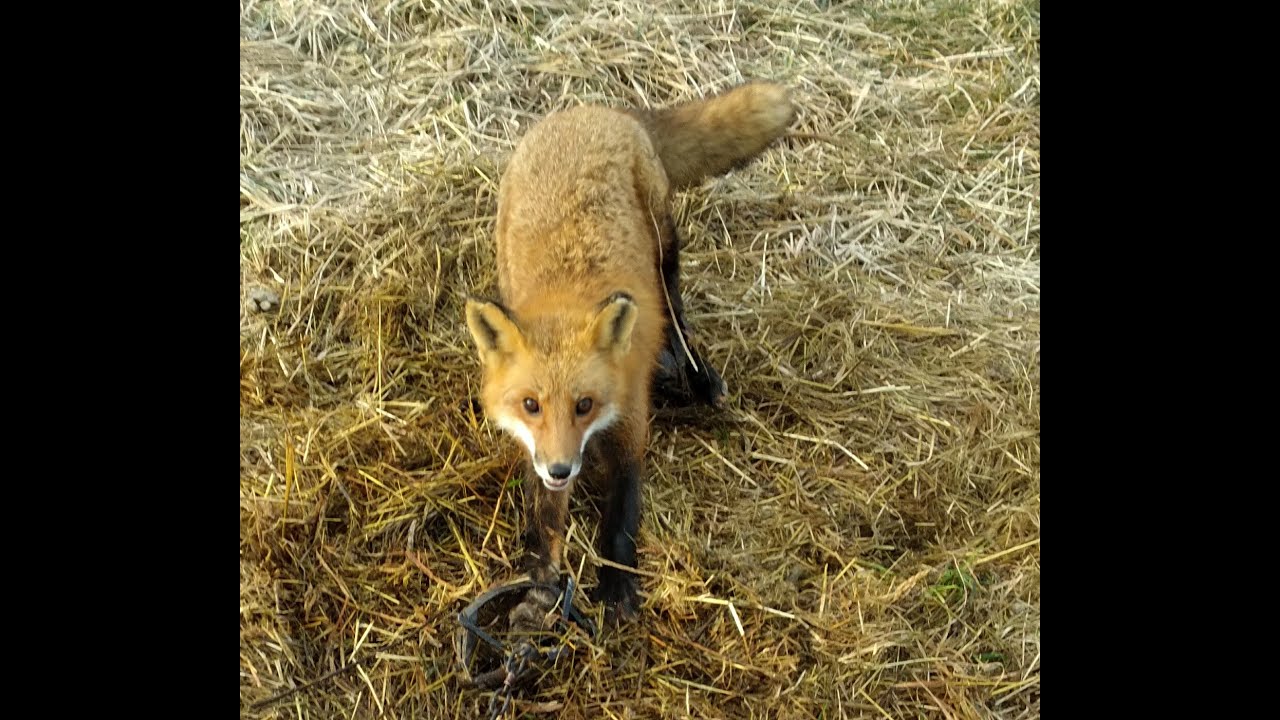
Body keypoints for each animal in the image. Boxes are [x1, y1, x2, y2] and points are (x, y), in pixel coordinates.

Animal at [465, 82, 795, 622]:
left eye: (585, 404)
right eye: (530, 405)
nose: (561, 470)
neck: (566, 295)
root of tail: (593, 111)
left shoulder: (630, 426)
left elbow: (620, 514)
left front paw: (617, 586)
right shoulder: (539, 450)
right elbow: (544, 515)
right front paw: (541, 581)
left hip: (664, 243)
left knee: (674, 302)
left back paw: (696, 372)